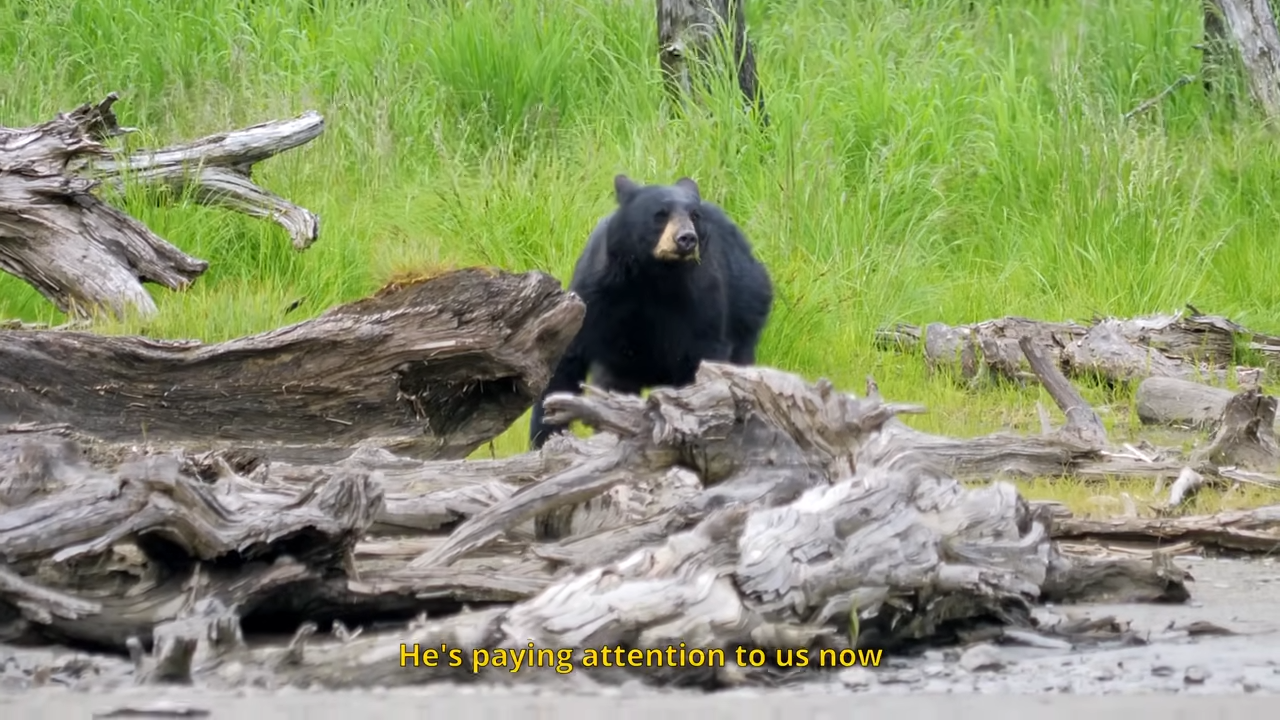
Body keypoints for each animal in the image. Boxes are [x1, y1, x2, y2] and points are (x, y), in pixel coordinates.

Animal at [528, 173, 774, 449]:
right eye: (660, 214)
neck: (654, 276)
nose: (686, 238)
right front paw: (545, 435)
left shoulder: (701, 303)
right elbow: (567, 356)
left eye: (695, 215)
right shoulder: (596, 294)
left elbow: (702, 357)